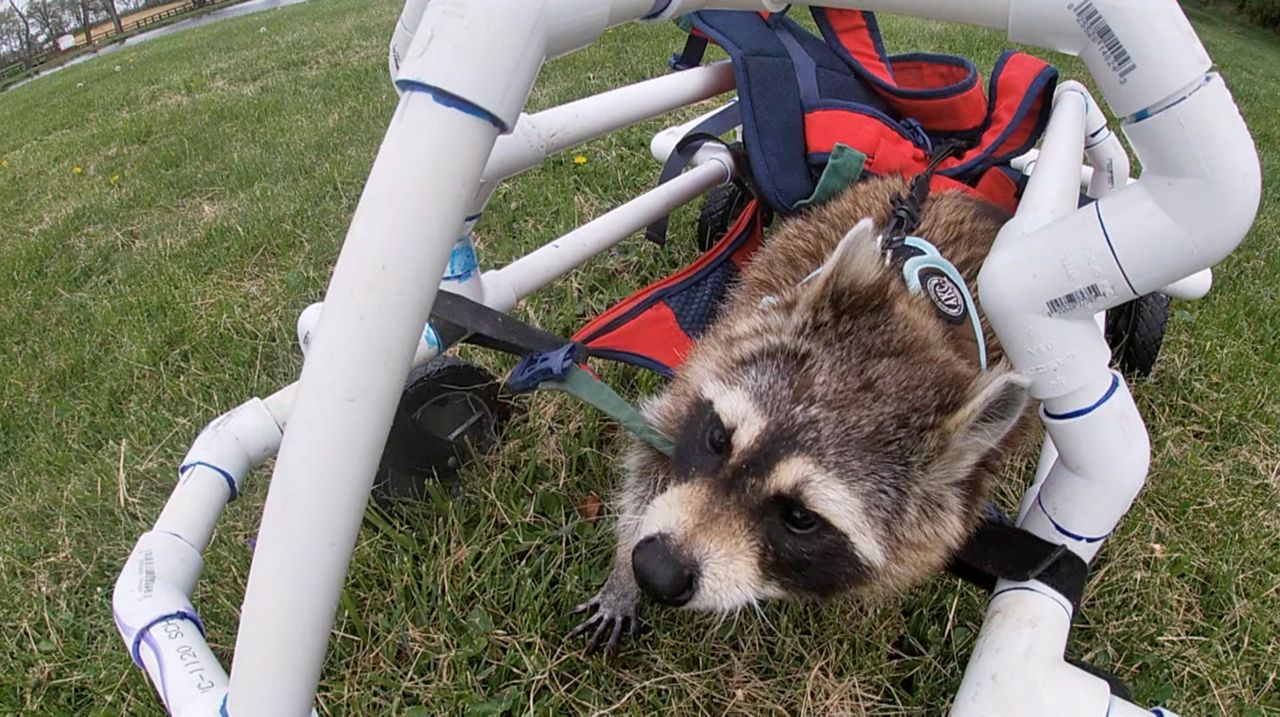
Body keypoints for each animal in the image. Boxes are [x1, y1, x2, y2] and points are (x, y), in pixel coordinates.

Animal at [570, 175, 1032, 654]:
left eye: (801, 518)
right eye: (718, 440)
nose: (655, 570)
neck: (922, 324)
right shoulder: (714, 357)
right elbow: (651, 453)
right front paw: (623, 573)